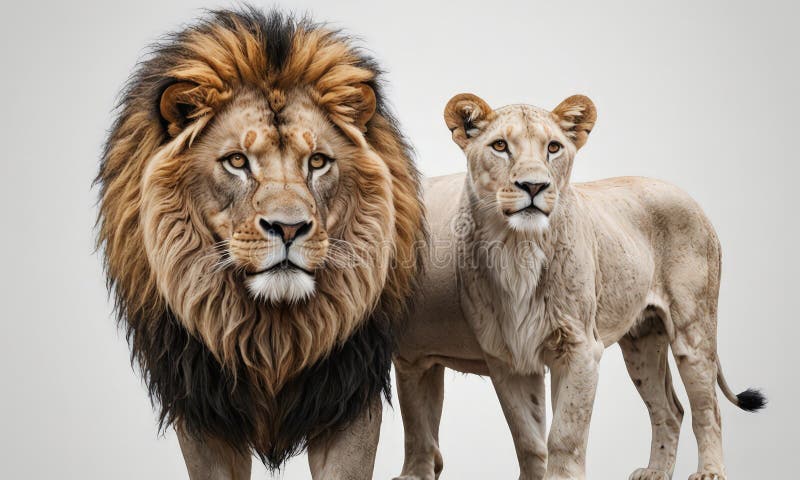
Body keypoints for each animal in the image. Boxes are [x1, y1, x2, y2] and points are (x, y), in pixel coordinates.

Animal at [95, 8, 424, 479]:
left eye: (317, 162)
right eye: (237, 161)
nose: (288, 229)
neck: (272, 336)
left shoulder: (348, 396)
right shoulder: (201, 408)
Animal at [393, 93, 765, 480]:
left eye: (553, 147)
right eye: (500, 146)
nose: (534, 186)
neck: (518, 250)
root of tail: (688, 197)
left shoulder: (581, 348)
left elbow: (565, 434)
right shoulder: (509, 358)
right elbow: (529, 440)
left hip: (693, 332)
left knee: (707, 408)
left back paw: (710, 472)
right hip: (642, 342)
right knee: (669, 409)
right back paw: (655, 472)